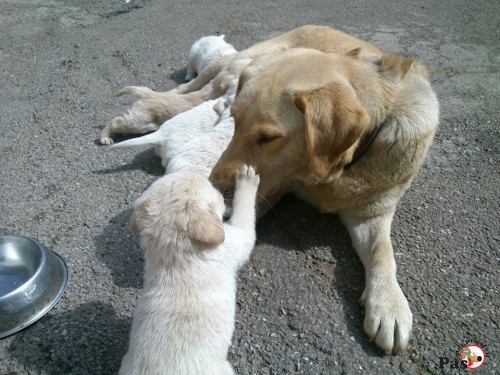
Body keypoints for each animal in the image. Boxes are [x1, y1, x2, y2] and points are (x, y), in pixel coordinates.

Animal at [119, 167, 260, 375]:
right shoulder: (235, 241)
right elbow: (245, 216)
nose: (221, 190)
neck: (175, 255)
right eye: (212, 188)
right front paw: (246, 180)